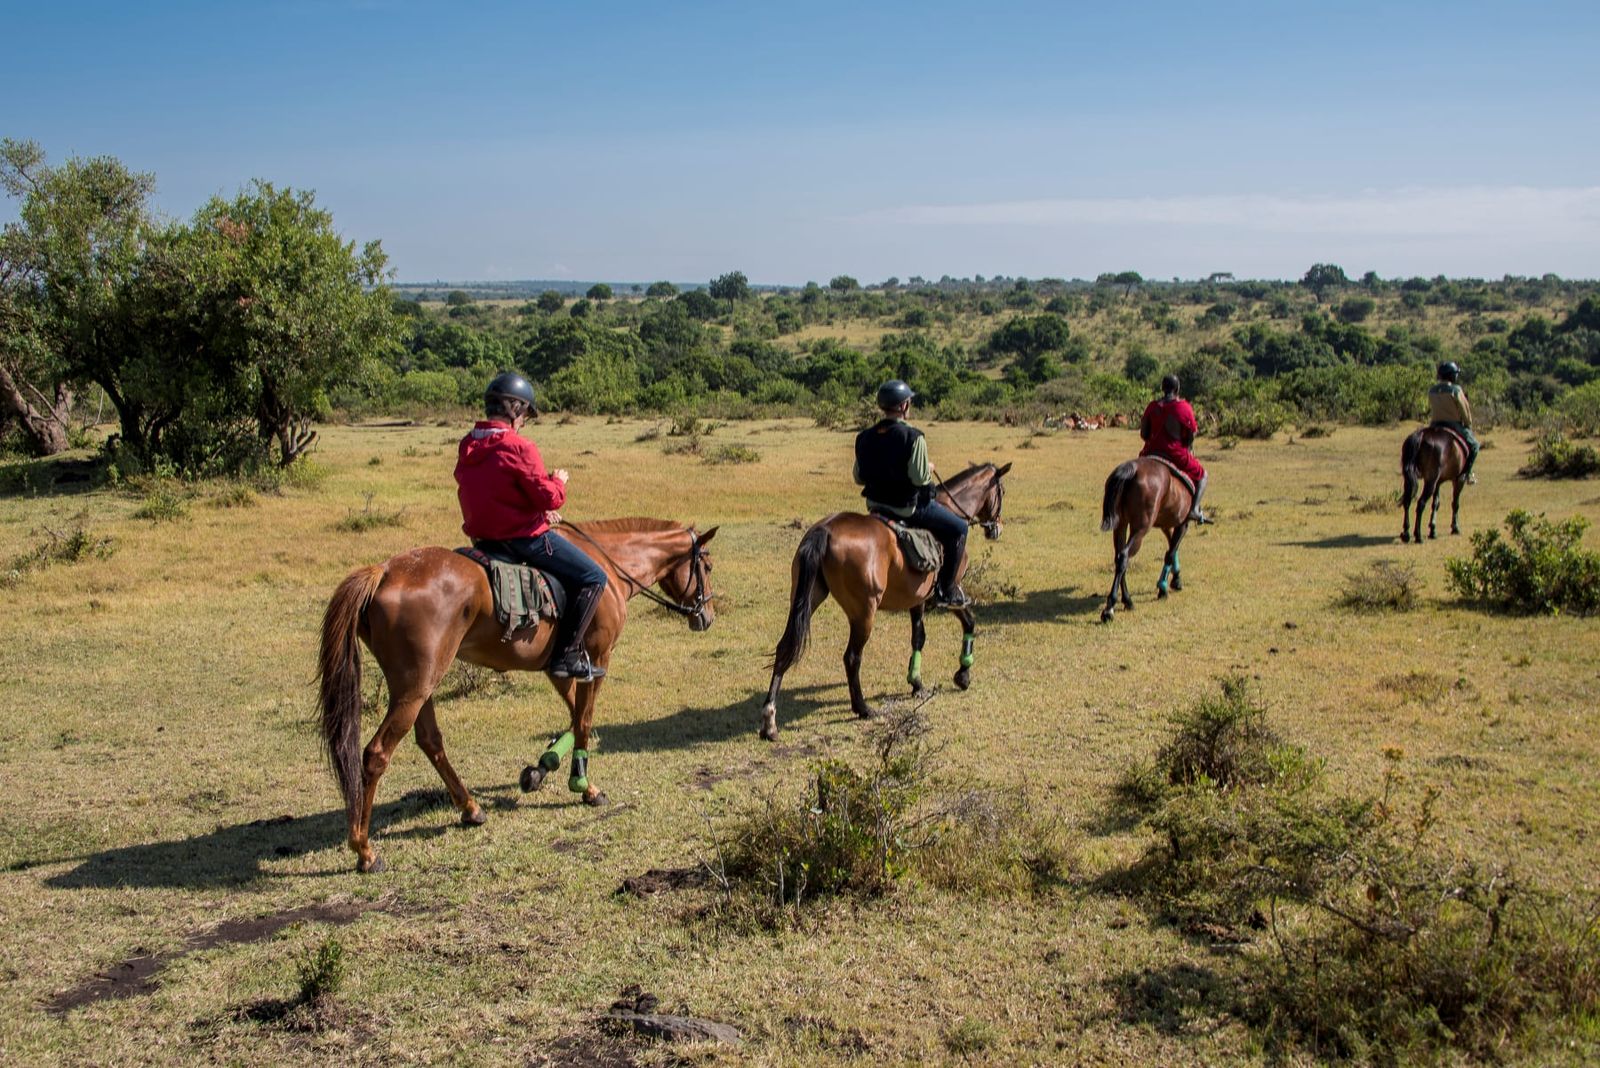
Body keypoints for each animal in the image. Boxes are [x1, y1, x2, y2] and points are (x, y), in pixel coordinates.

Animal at [316, 518, 717, 873]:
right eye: (708, 566)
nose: (707, 616)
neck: (609, 566)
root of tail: (384, 571)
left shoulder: (559, 668)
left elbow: (574, 717)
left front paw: (541, 769)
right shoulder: (596, 659)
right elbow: (585, 720)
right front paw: (584, 786)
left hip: (421, 685)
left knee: (430, 740)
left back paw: (471, 809)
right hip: (414, 688)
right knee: (376, 753)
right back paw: (365, 851)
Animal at [758, 462, 1011, 741]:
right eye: (1002, 492)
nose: (996, 528)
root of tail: (825, 529)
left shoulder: (918, 600)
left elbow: (918, 638)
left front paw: (916, 683)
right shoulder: (949, 592)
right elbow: (969, 623)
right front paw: (963, 674)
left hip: (806, 598)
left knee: (784, 647)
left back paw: (769, 721)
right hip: (864, 613)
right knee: (852, 657)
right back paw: (862, 708)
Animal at [1099, 457, 1195, 623]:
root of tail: (1132, 468)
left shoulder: (1166, 525)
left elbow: (1171, 549)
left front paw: (1176, 579)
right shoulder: (1183, 524)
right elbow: (1171, 552)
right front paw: (1164, 589)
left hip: (1121, 525)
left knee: (1119, 557)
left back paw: (1127, 601)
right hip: (1141, 528)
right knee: (1124, 556)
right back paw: (1109, 609)